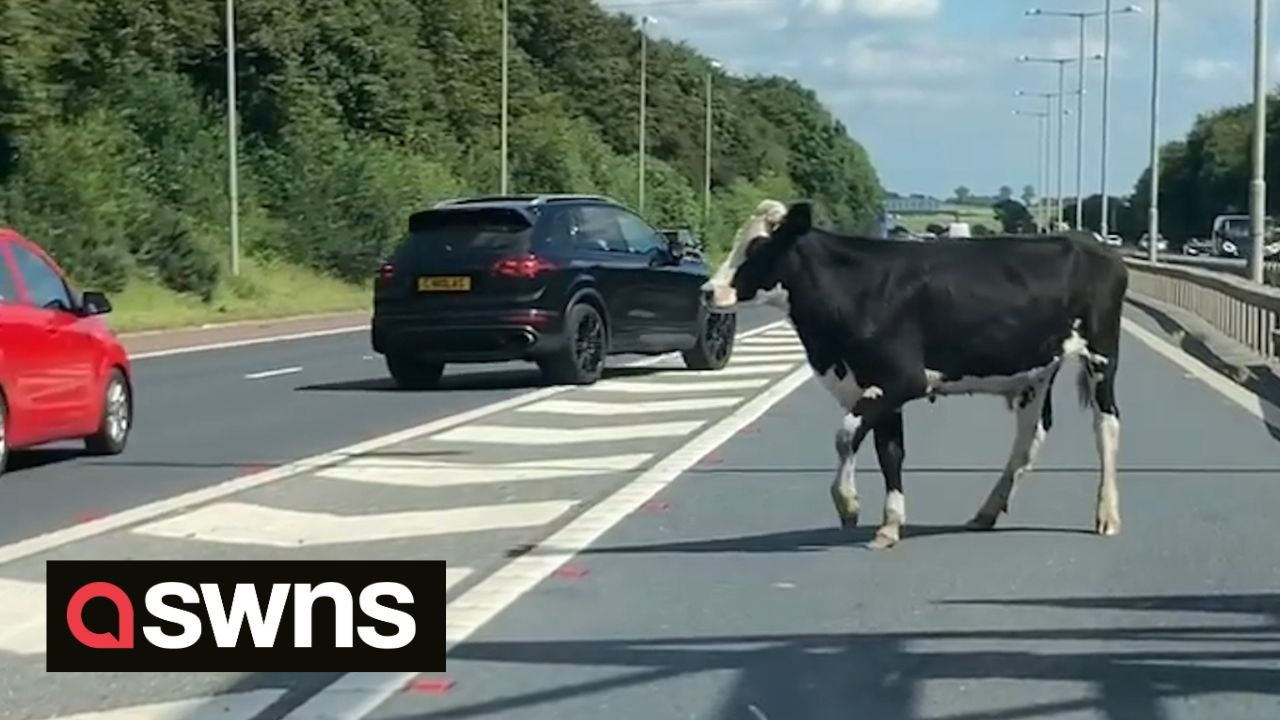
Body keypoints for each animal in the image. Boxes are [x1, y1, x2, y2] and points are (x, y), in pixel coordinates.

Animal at [704, 199, 1128, 550]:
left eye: (759, 247)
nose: (708, 290)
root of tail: (1094, 244)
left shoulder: (903, 379)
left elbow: (845, 435)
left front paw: (848, 504)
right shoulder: (877, 388)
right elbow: (889, 452)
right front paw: (889, 525)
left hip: (1101, 353)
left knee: (1106, 426)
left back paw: (1107, 515)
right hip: (1036, 371)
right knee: (1030, 437)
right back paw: (987, 512)